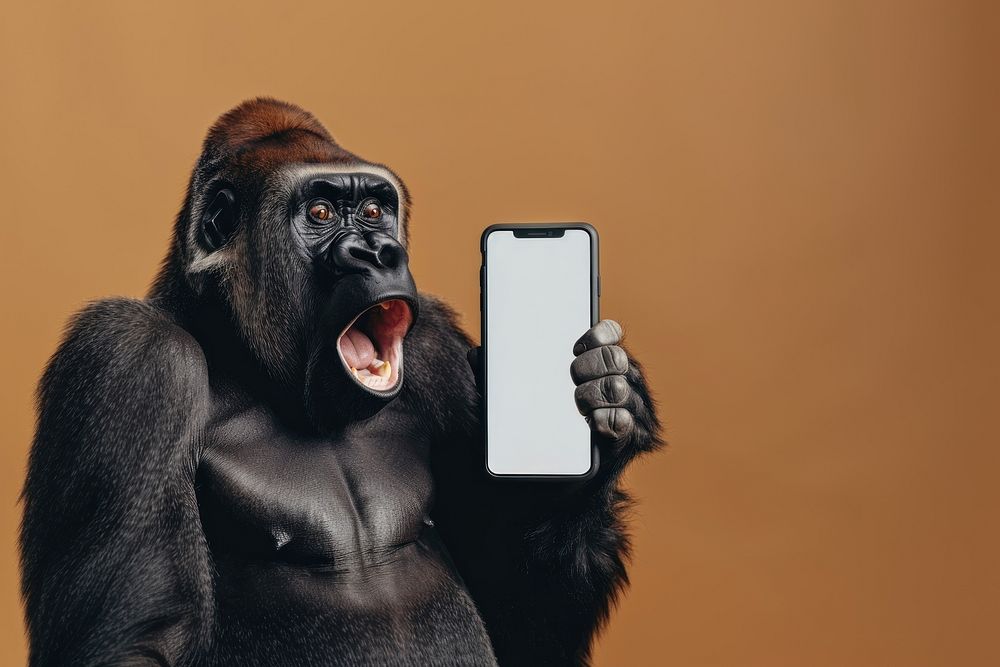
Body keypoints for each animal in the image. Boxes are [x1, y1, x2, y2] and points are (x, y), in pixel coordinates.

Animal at [20, 98, 662, 666]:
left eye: (375, 212)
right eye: (322, 214)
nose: (378, 253)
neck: (246, 359)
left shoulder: (438, 351)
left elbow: (517, 622)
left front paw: (605, 418)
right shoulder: (131, 359)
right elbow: (143, 636)